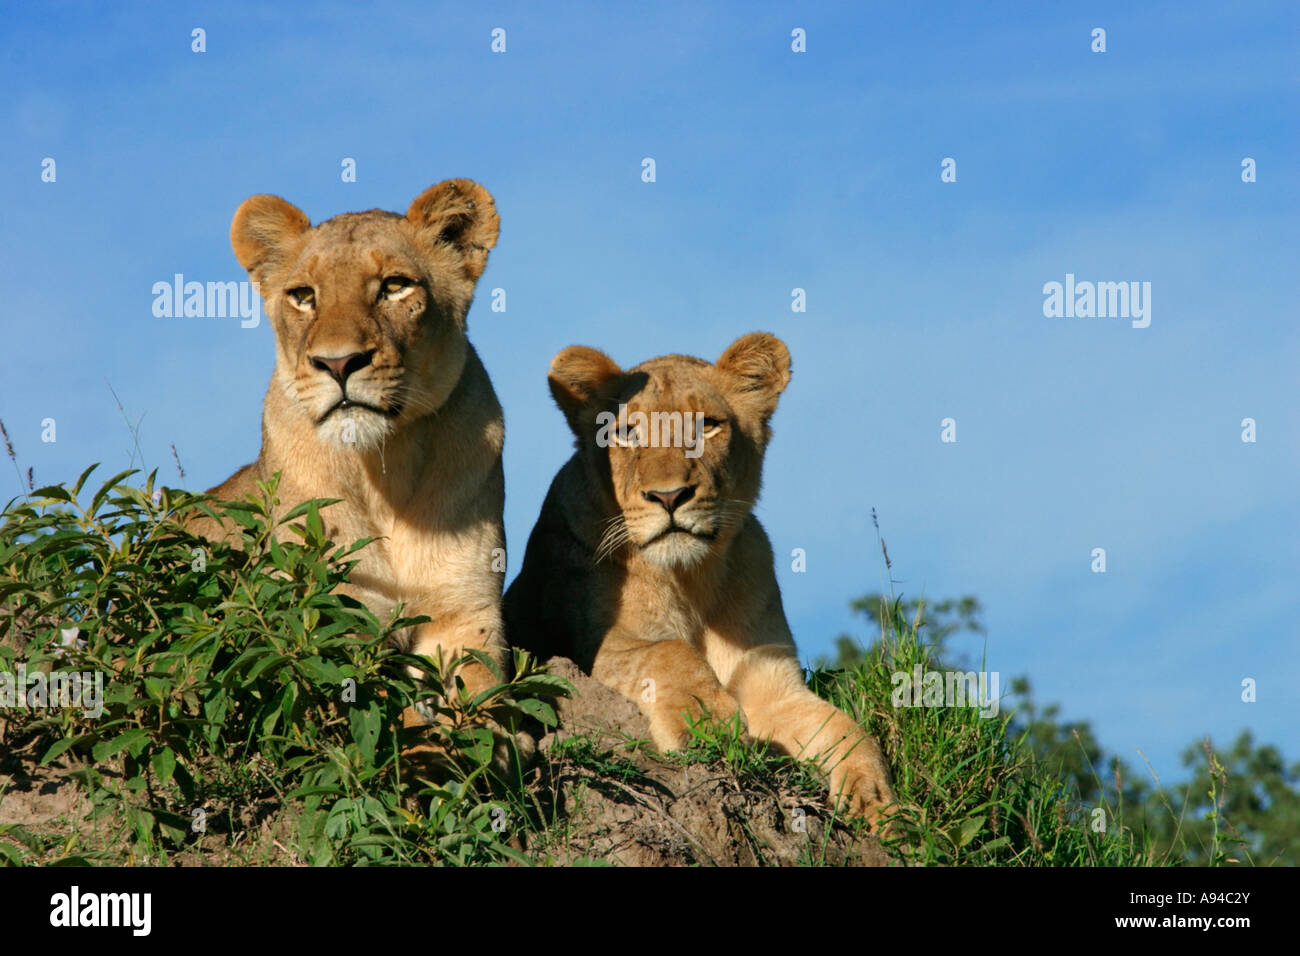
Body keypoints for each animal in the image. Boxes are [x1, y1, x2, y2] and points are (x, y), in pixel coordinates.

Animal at [189, 179, 509, 699]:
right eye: (303, 295)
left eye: (395, 286)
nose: (338, 363)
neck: (387, 465)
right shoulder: (331, 614)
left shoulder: (466, 612)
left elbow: (480, 700)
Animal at [503, 332, 896, 824]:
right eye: (625, 432)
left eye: (707, 426)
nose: (669, 496)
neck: (694, 579)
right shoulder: (594, 644)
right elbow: (668, 652)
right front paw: (704, 721)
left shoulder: (772, 683)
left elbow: (847, 729)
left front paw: (878, 804)